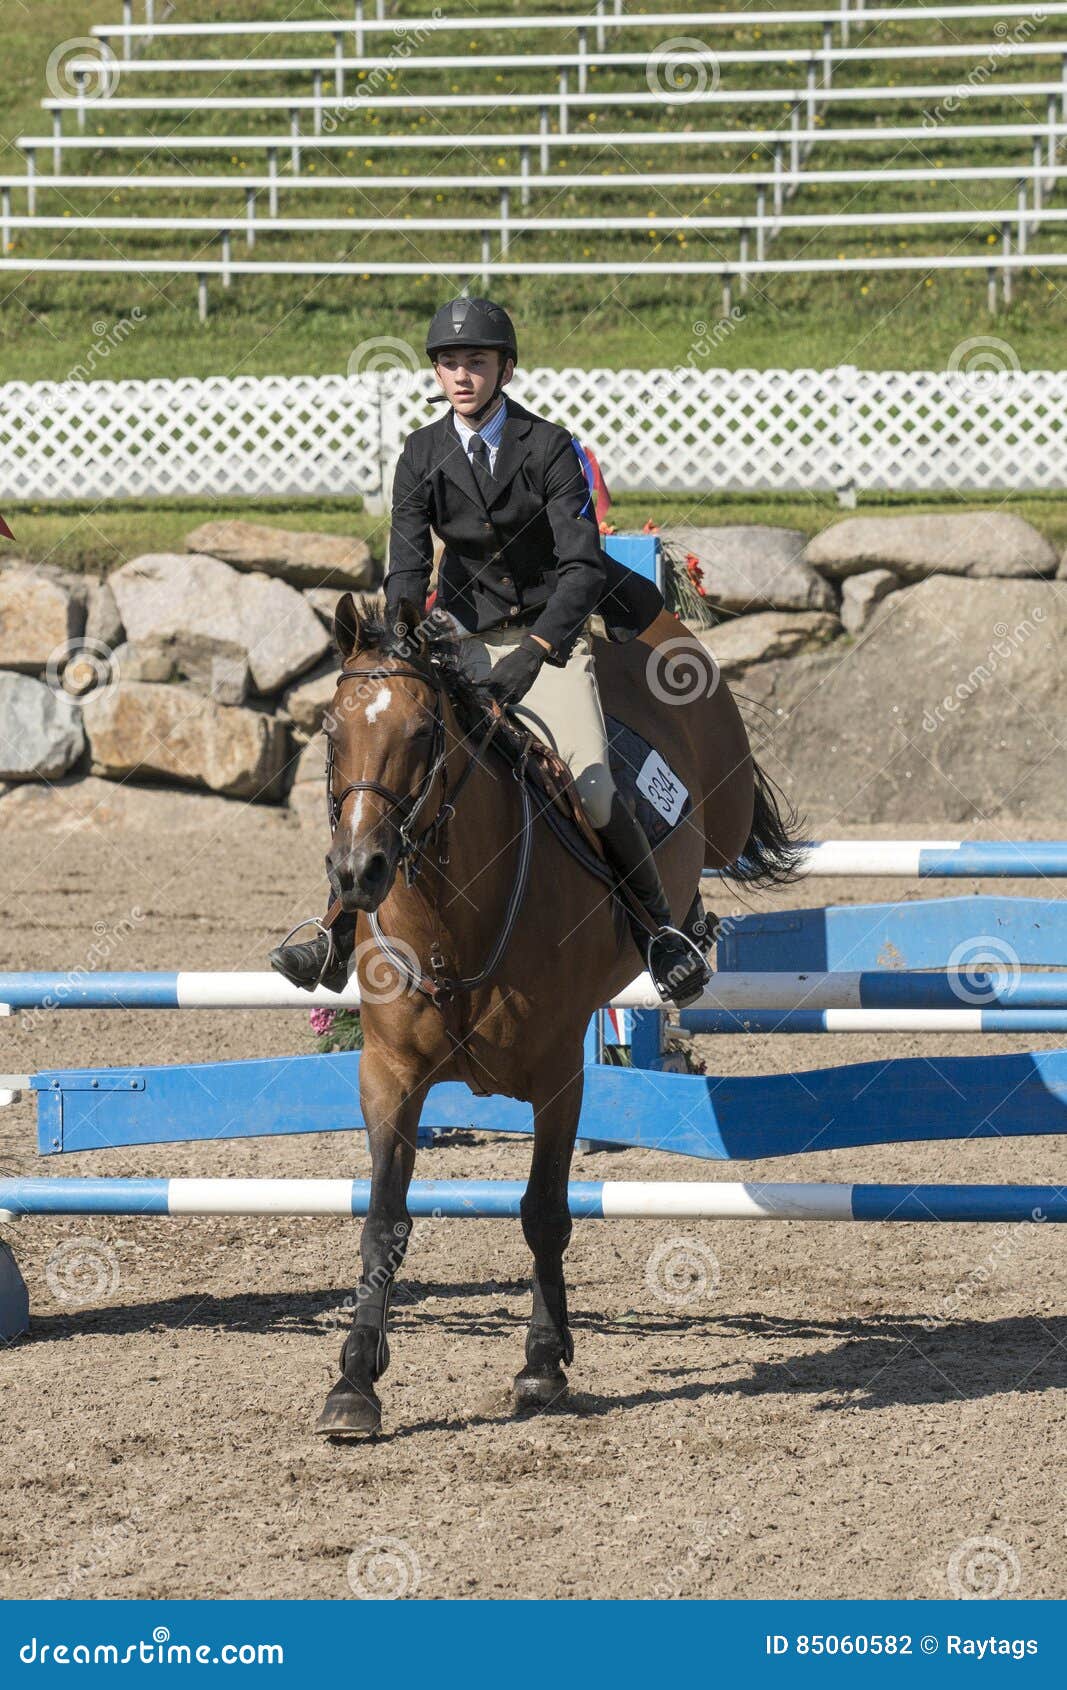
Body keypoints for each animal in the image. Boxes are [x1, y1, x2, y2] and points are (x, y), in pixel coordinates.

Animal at [315, 594, 801, 1436]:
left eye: (423, 733)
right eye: (330, 733)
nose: (357, 873)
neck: (452, 921)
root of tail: (651, 626)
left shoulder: (558, 1077)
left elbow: (543, 1212)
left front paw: (541, 1365)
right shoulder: (389, 1076)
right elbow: (384, 1220)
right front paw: (354, 1383)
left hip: (724, 813)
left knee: (712, 847)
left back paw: (680, 937)